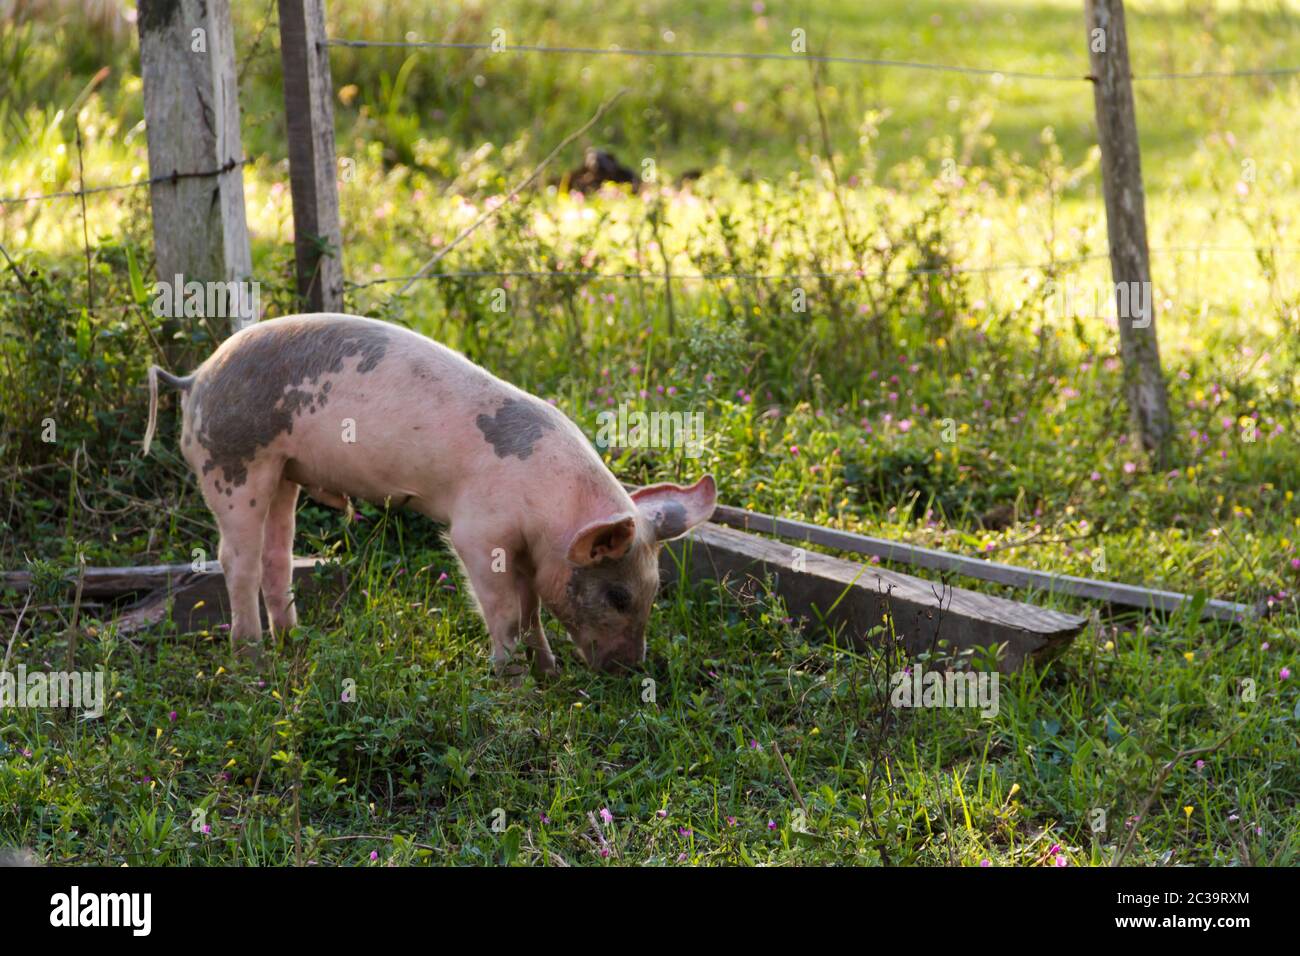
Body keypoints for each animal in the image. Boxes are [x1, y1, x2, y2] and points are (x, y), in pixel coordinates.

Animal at [143, 313, 716, 677]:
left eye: (654, 591)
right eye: (618, 595)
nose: (631, 669)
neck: (552, 516)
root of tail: (195, 378)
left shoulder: (530, 553)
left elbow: (532, 609)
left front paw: (549, 672)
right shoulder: (479, 534)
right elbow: (506, 610)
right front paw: (514, 679)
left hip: (285, 470)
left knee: (276, 553)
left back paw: (294, 641)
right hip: (235, 463)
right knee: (234, 558)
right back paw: (253, 659)